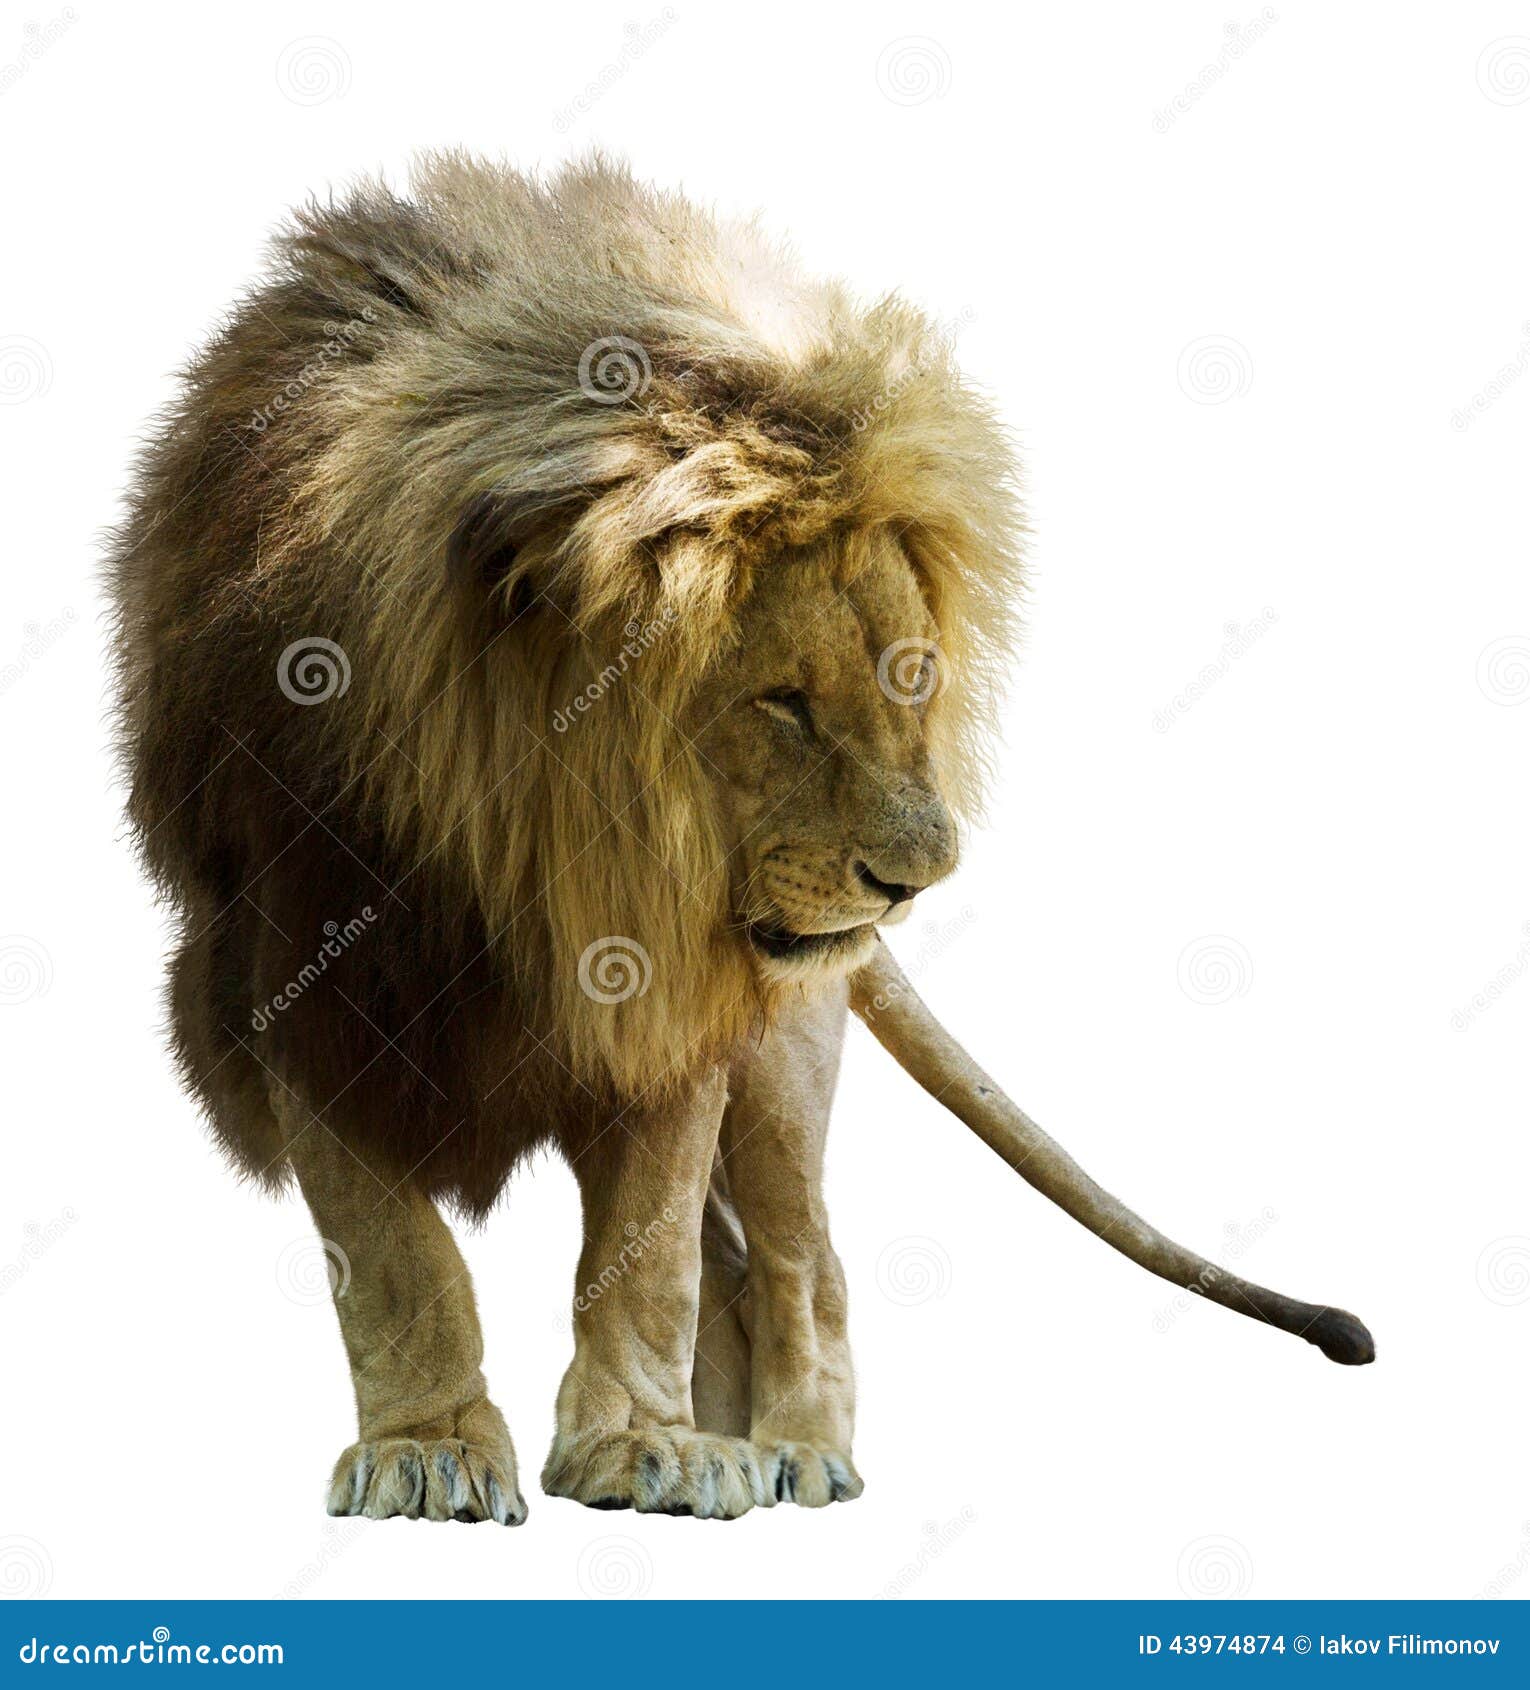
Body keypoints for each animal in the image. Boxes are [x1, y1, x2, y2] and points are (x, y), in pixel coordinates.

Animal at [109, 154, 1372, 1526]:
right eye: (782, 703)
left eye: (913, 678)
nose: (918, 881)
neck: (527, 866)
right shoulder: (299, 956)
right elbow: (394, 1250)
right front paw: (432, 1446)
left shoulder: (677, 982)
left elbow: (647, 1245)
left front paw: (634, 1442)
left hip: (785, 1046)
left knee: (799, 1254)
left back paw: (794, 1451)